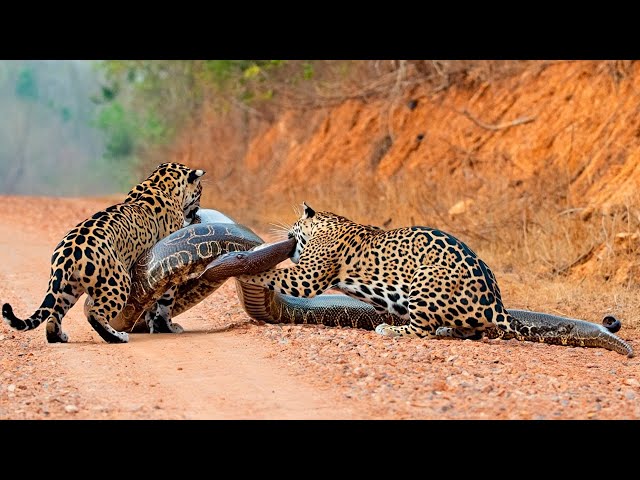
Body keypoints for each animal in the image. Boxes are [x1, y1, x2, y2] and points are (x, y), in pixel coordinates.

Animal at [2, 162, 205, 344]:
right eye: (200, 190)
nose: (198, 208)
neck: (159, 183)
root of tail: (68, 251)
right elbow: (166, 302)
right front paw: (168, 327)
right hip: (118, 283)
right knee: (95, 313)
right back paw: (118, 337)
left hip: (68, 287)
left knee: (53, 315)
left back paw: (58, 337)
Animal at [237, 202, 548, 342]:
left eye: (294, 224)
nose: (287, 232)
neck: (329, 224)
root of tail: (496, 302)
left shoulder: (306, 277)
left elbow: (273, 276)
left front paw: (242, 271)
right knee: (469, 332)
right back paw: (448, 329)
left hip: (425, 276)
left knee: (422, 330)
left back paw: (390, 329)